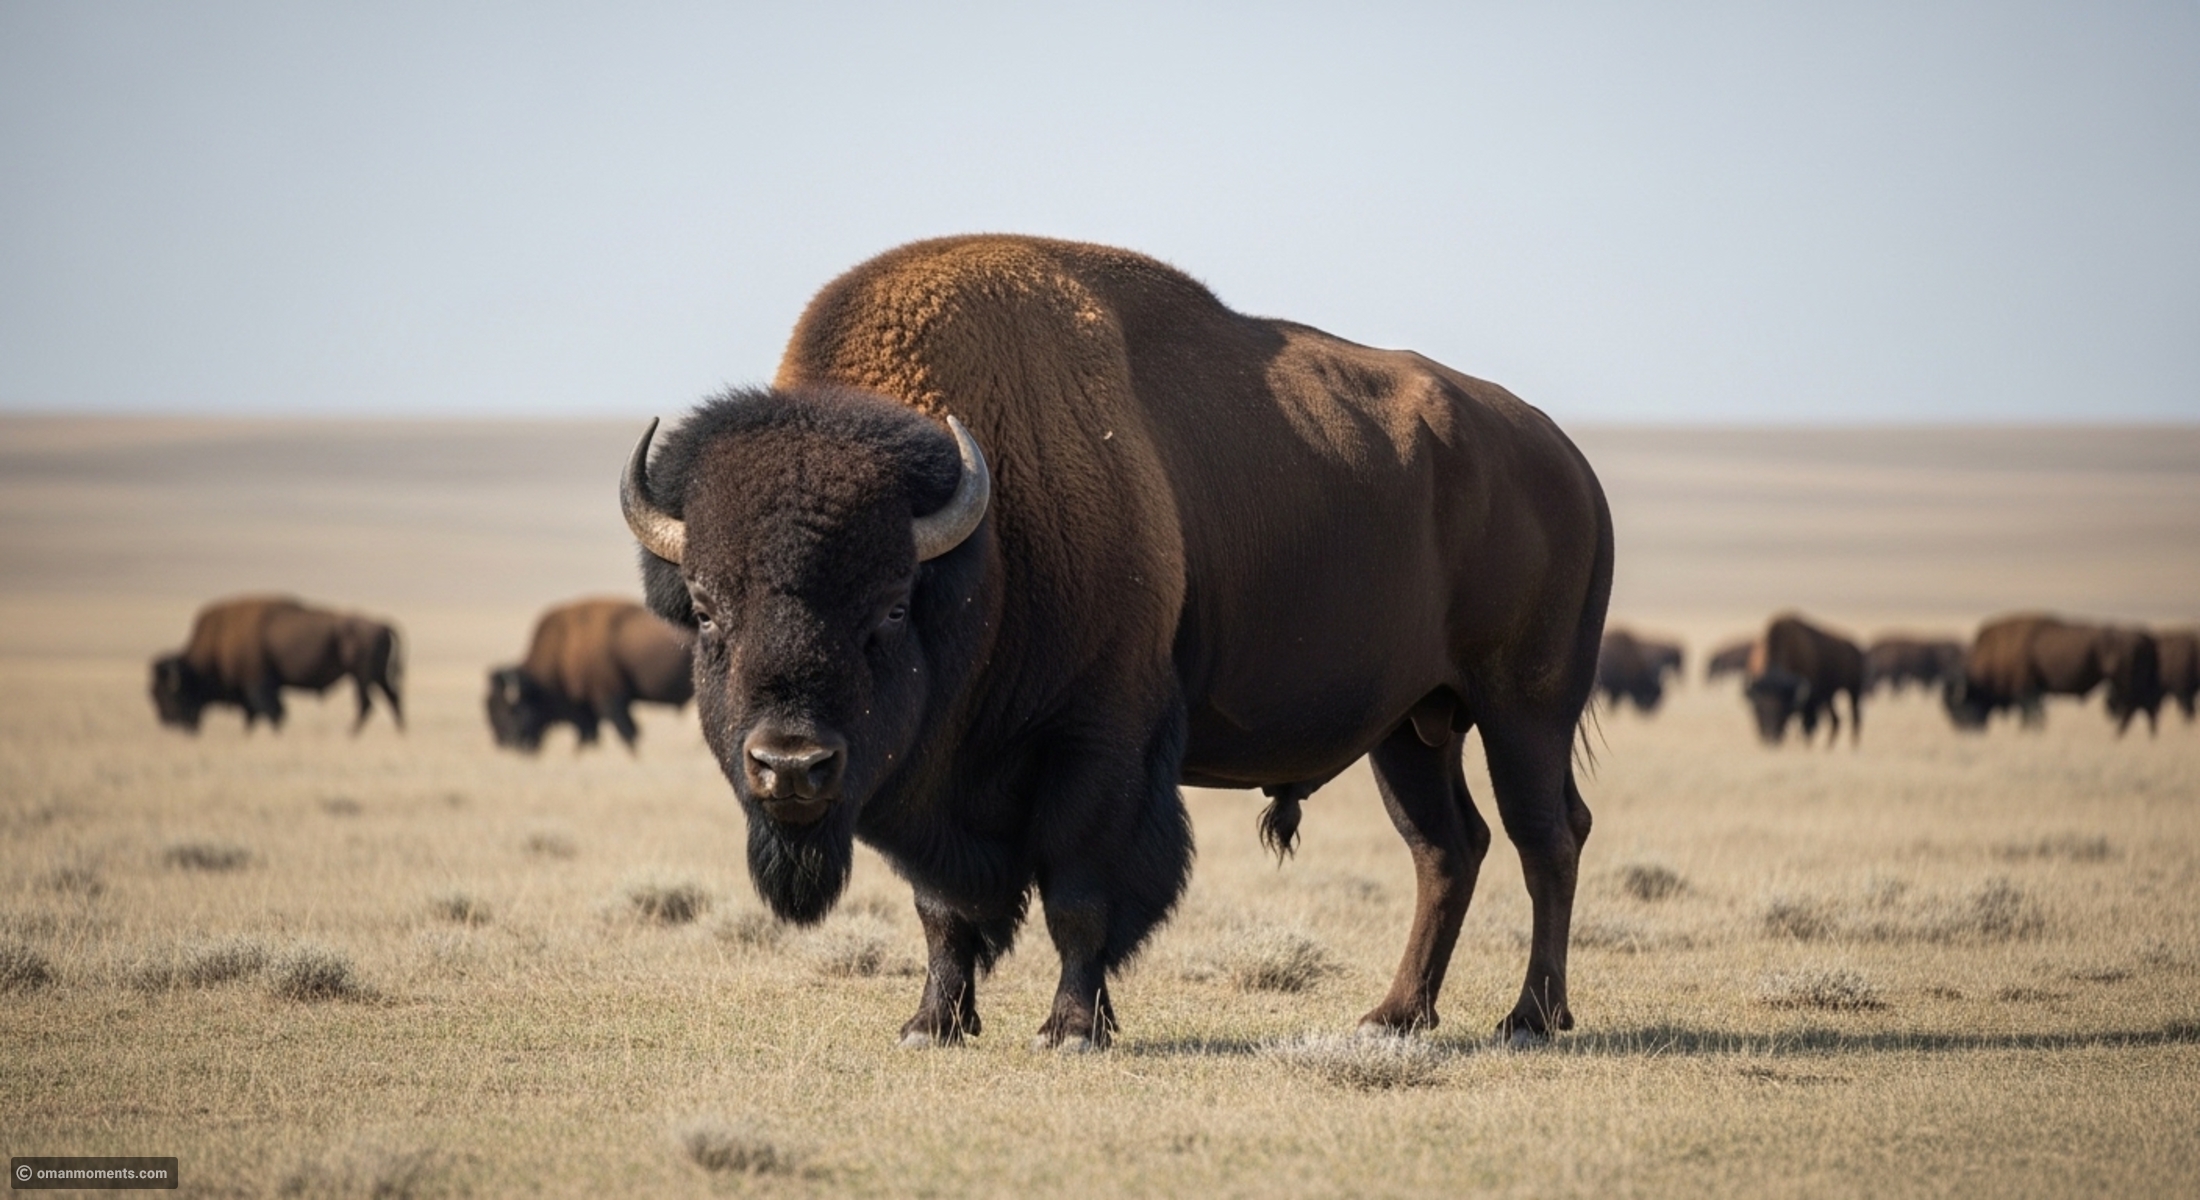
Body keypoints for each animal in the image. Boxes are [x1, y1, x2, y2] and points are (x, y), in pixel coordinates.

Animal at [150, 595, 403, 733]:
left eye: (169, 693)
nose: (167, 722)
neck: (218, 641)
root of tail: (381, 624)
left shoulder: (258, 684)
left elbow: (272, 712)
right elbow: (257, 715)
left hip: (362, 676)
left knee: (367, 703)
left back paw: (349, 734)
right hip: (375, 676)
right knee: (391, 698)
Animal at [486, 598, 694, 752]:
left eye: (510, 710)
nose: (504, 743)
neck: (564, 648)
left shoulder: (610, 699)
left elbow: (627, 733)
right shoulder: (588, 710)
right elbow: (591, 736)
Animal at [623, 235, 1613, 1049]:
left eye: (891, 608)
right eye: (706, 608)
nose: (790, 766)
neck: (988, 544)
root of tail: (1565, 461)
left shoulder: (1100, 747)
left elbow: (1081, 895)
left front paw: (1070, 1029)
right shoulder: (937, 786)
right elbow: (942, 910)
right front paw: (932, 1024)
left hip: (1524, 708)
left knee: (1546, 837)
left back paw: (1530, 1018)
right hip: (1410, 728)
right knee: (1447, 849)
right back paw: (1395, 1016)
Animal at [1744, 614, 1864, 746]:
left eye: (1784, 708)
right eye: (1758, 706)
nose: (1771, 737)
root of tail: (1855, 649)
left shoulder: (1810, 705)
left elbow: (1808, 728)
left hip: (1853, 690)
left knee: (1855, 717)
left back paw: (1852, 746)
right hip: (1830, 698)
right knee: (1836, 720)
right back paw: (1828, 746)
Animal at [1944, 614, 2163, 734]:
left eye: (1961, 709)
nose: (1965, 732)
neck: (1999, 650)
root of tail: (2144, 637)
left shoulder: (2027, 691)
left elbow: (2031, 717)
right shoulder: (2035, 692)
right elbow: (2035, 717)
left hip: (2124, 683)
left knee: (2133, 708)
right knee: (2145, 707)